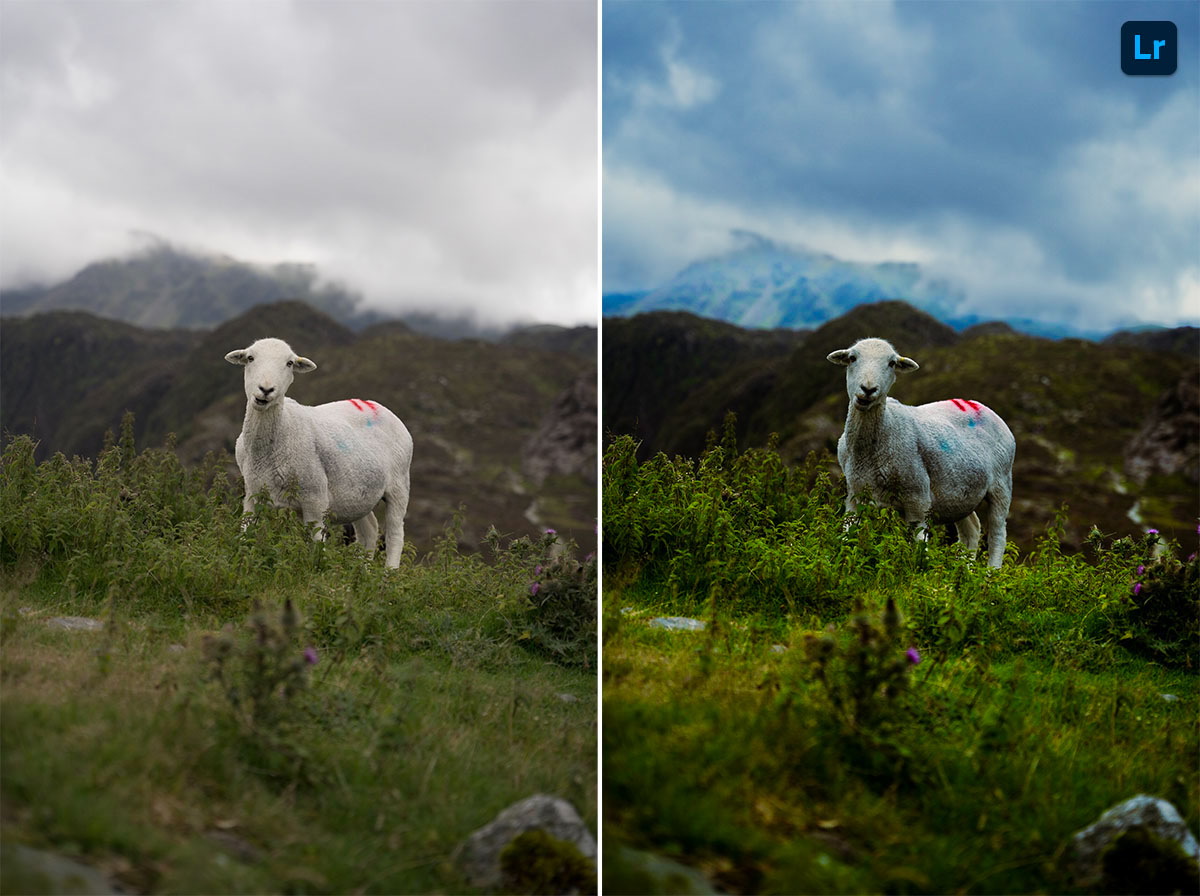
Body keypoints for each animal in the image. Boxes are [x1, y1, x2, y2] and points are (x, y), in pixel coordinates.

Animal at [225, 337, 413, 567]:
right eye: (250, 358)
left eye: (289, 363)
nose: (266, 389)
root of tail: (379, 406)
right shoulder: (253, 492)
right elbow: (245, 533)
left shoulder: (315, 499)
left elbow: (316, 547)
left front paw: (317, 569)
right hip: (360, 493)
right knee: (369, 531)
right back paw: (362, 571)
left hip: (399, 485)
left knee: (395, 534)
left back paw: (389, 573)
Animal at [826, 337, 1015, 567]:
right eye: (852, 358)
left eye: (891, 363)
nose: (868, 389)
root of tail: (982, 406)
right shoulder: (855, 494)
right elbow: (847, 536)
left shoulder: (918, 499)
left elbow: (919, 549)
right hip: (960, 493)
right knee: (971, 530)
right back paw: (964, 571)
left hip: (1002, 484)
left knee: (998, 534)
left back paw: (990, 573)